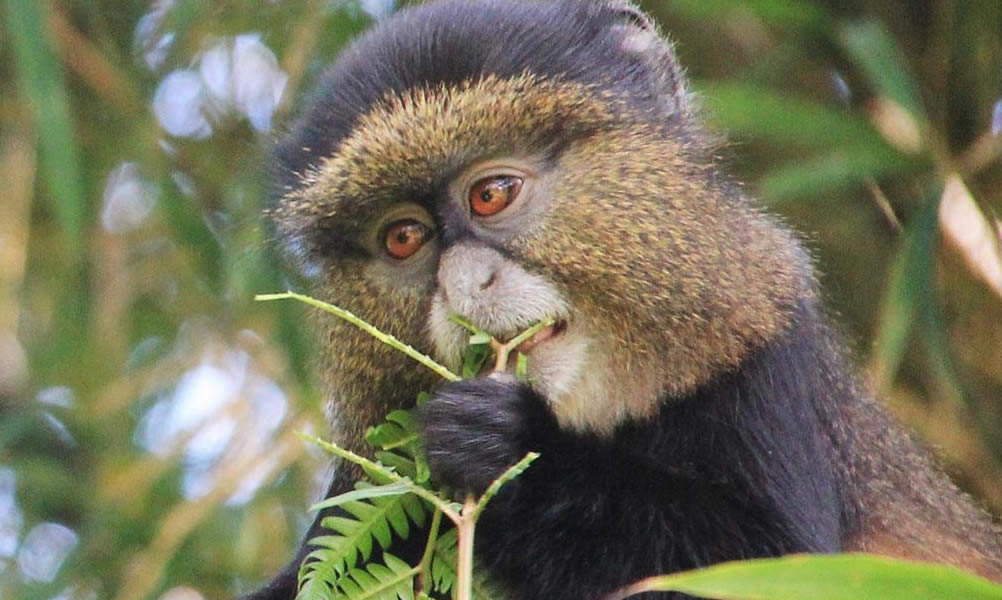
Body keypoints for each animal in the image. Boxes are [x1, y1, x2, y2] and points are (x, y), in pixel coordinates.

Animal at [253, 0, 1002, 598]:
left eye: (491, 194)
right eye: (404, 237)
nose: (466, 289)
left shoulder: (763, 347)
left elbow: (763, 561)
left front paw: (509, 446)